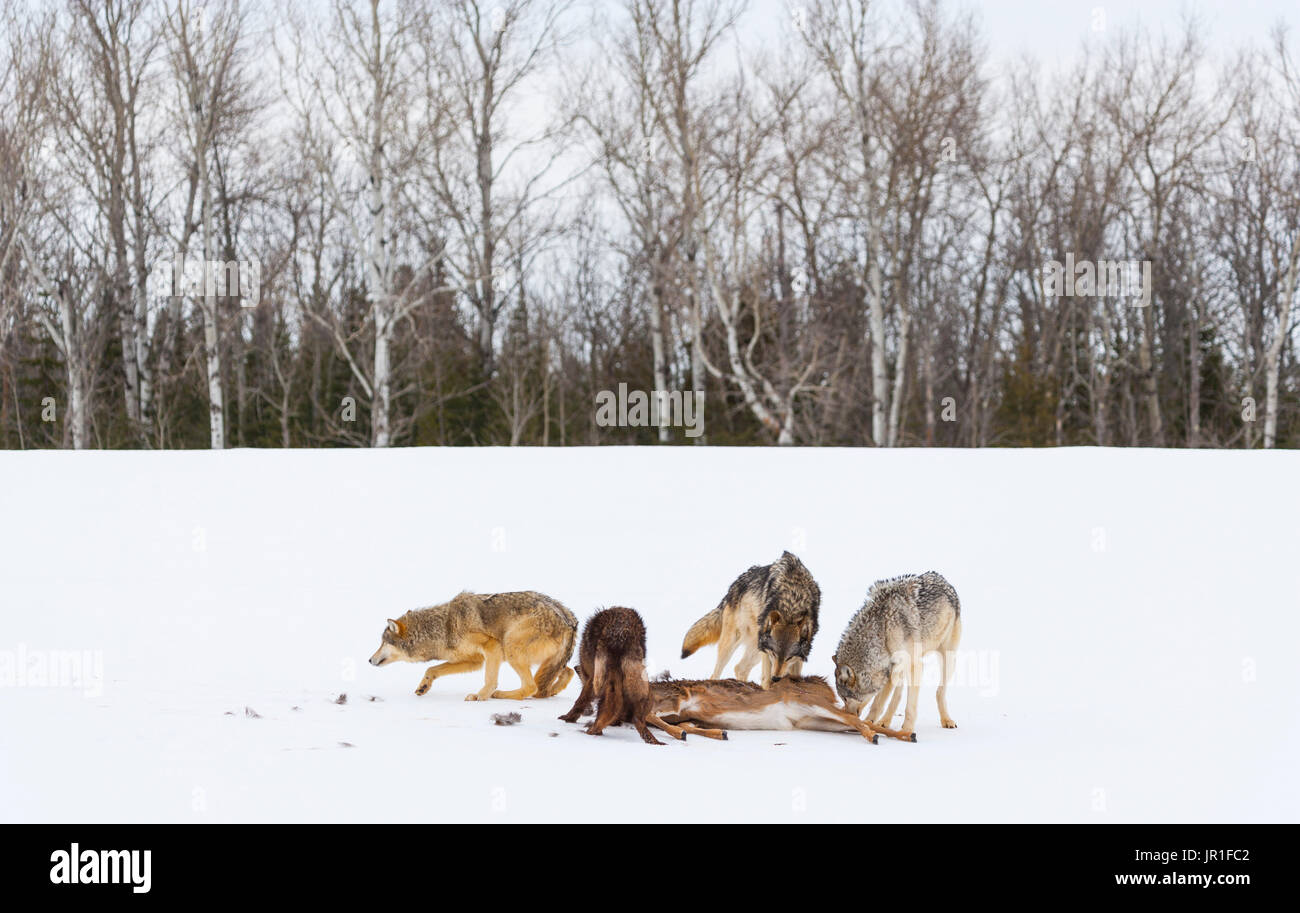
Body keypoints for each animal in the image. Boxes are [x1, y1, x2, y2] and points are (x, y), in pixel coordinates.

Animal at [368, 591, 577, 701]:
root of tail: (569, 621)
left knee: (531, 686)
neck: (443, 628)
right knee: (566, 673)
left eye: (383, 642)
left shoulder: (492, 646)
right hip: (541, 659)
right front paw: (423, 686)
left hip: (510, 647)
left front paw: (480, 696)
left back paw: (500, 694)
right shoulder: (474, 662)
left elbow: (490, 680)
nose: (369, 660)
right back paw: (551, 691)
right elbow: (432, 669)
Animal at [559, 607, 661, 745]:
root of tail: (621, 633)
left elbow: (580, 701)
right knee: (636, 718)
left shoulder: (590, 677)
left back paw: (591, 731)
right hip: (642, 686)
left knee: (610, 707)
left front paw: (568, 718)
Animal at [680, 551, 820, 686]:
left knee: (739, 668)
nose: (776, 678)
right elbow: (766, 681)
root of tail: (733, 587)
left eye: (789, 658)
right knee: (716, 674)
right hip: (734, 644)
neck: (792, 603)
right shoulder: (767, 655)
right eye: (774, 653)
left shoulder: (795, 659)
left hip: (756, 647)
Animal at [832, 571, 961, 738]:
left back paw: (947, 720)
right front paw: (869, 723)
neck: (882, 629)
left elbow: (907, 706)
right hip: (900, 668)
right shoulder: (889, 669)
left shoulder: (913, 665)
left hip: (948, 659)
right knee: (897, 696)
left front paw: (906, 731)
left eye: (845, 698)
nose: (846, 716)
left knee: (939, 692)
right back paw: (884, 722)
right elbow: (878, 702)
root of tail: (940, 577)